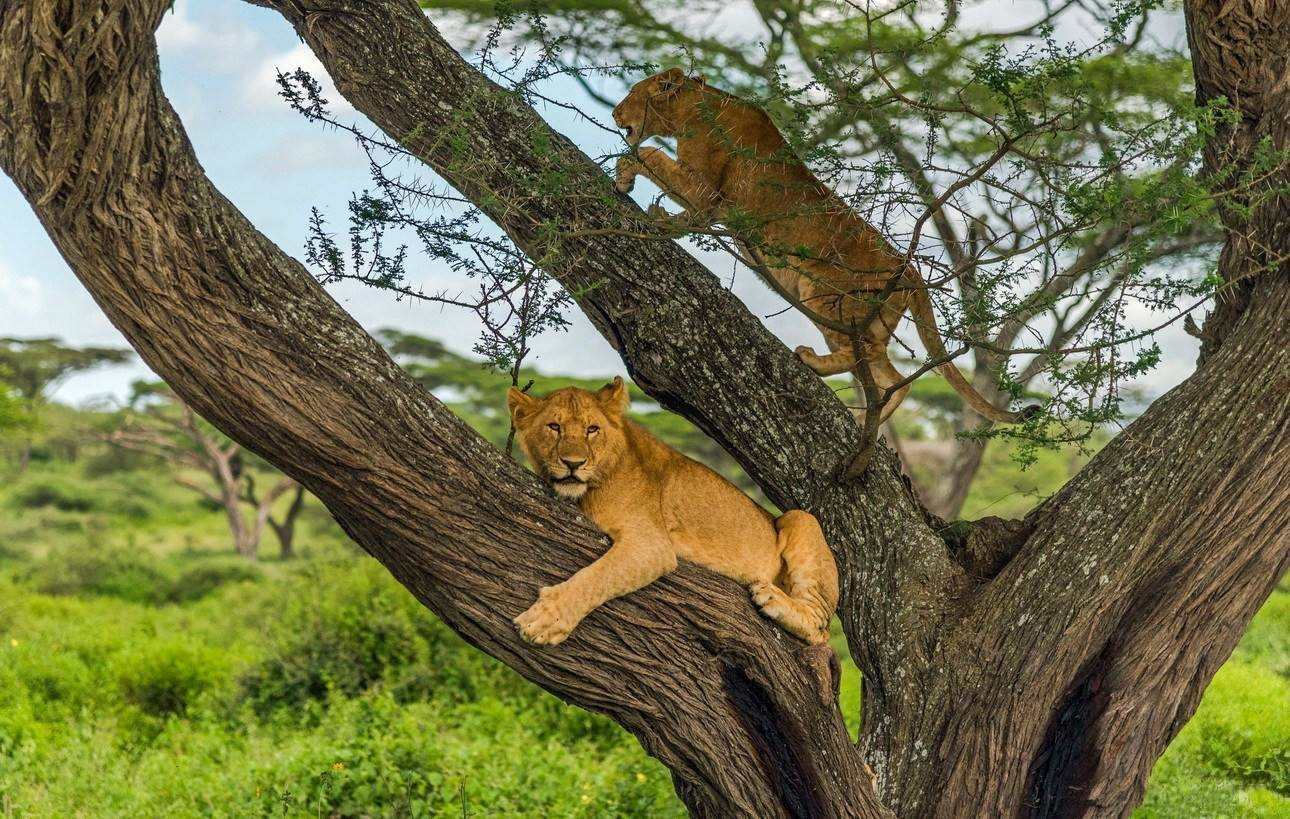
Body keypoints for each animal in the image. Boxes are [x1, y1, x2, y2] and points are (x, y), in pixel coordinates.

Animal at [507, 377, 839, 646]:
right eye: (554, 427)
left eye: (592, 429)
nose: (573, 463)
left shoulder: (652, 545)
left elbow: (597, 576)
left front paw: (545, 620)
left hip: (801, 518)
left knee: (819, 629)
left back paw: (773, 599)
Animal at [612, 68, 1036, 425]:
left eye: (631, 93)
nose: (614, 112)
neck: (692, 107)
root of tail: (910, 270)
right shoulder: (708, 205)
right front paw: (656, 212)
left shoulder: (707, 194)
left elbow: (647, 156)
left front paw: (631, 187)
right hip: (858, 319)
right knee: (893, 374)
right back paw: (871, 423)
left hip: (821, 293)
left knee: (867, 356)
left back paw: (814, 365)